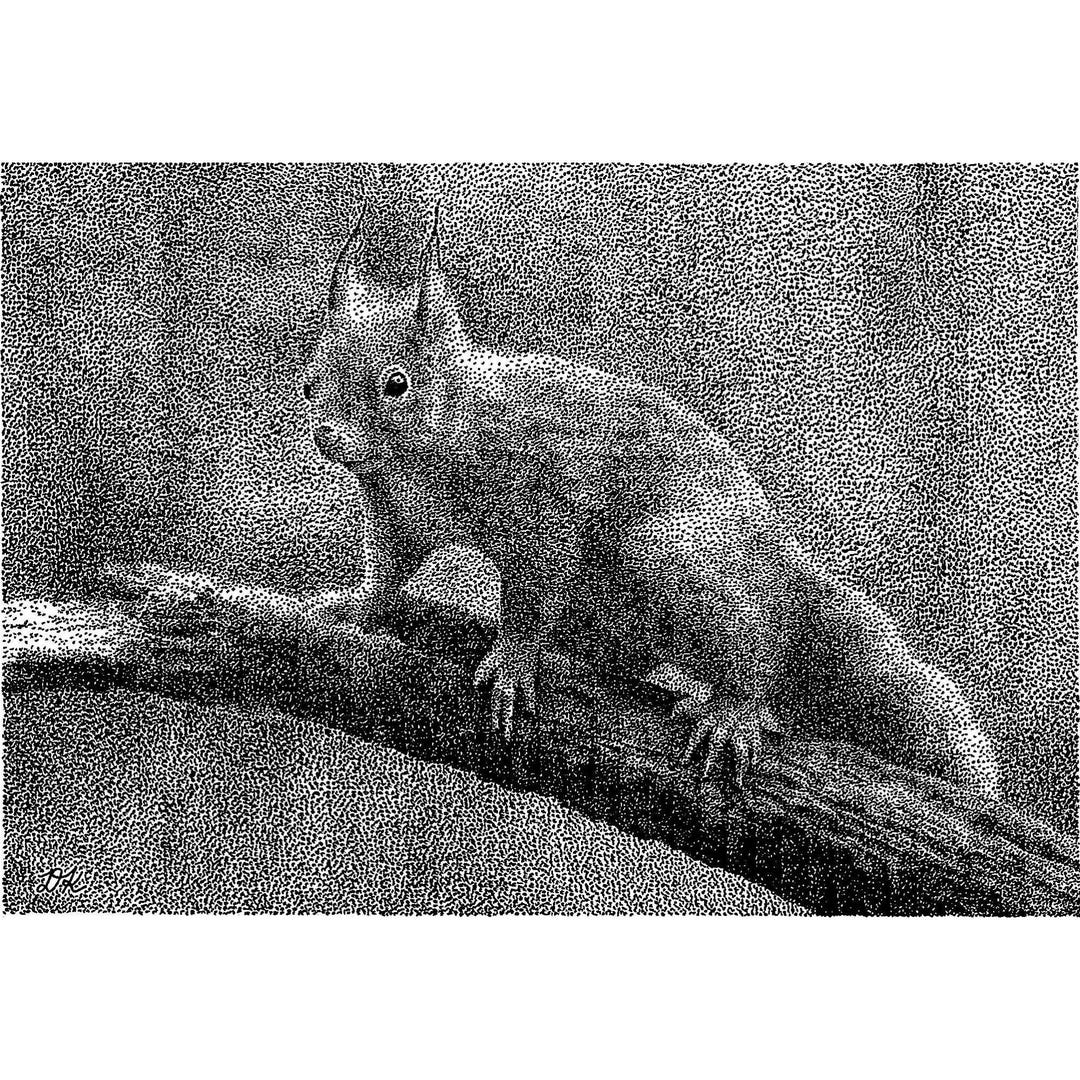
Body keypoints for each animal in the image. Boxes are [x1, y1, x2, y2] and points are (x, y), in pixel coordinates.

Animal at [302, 209, 1001, 799]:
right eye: (310, 375)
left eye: (395, 384)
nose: (326, 435)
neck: (443, 436)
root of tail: (784, 567)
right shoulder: (397, 509)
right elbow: (394, 564)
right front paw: (357, 604)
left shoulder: (544, 501)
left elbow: (533, 593)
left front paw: (515, 659)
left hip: (680, 561)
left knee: (757, 652)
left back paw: (732, 711)